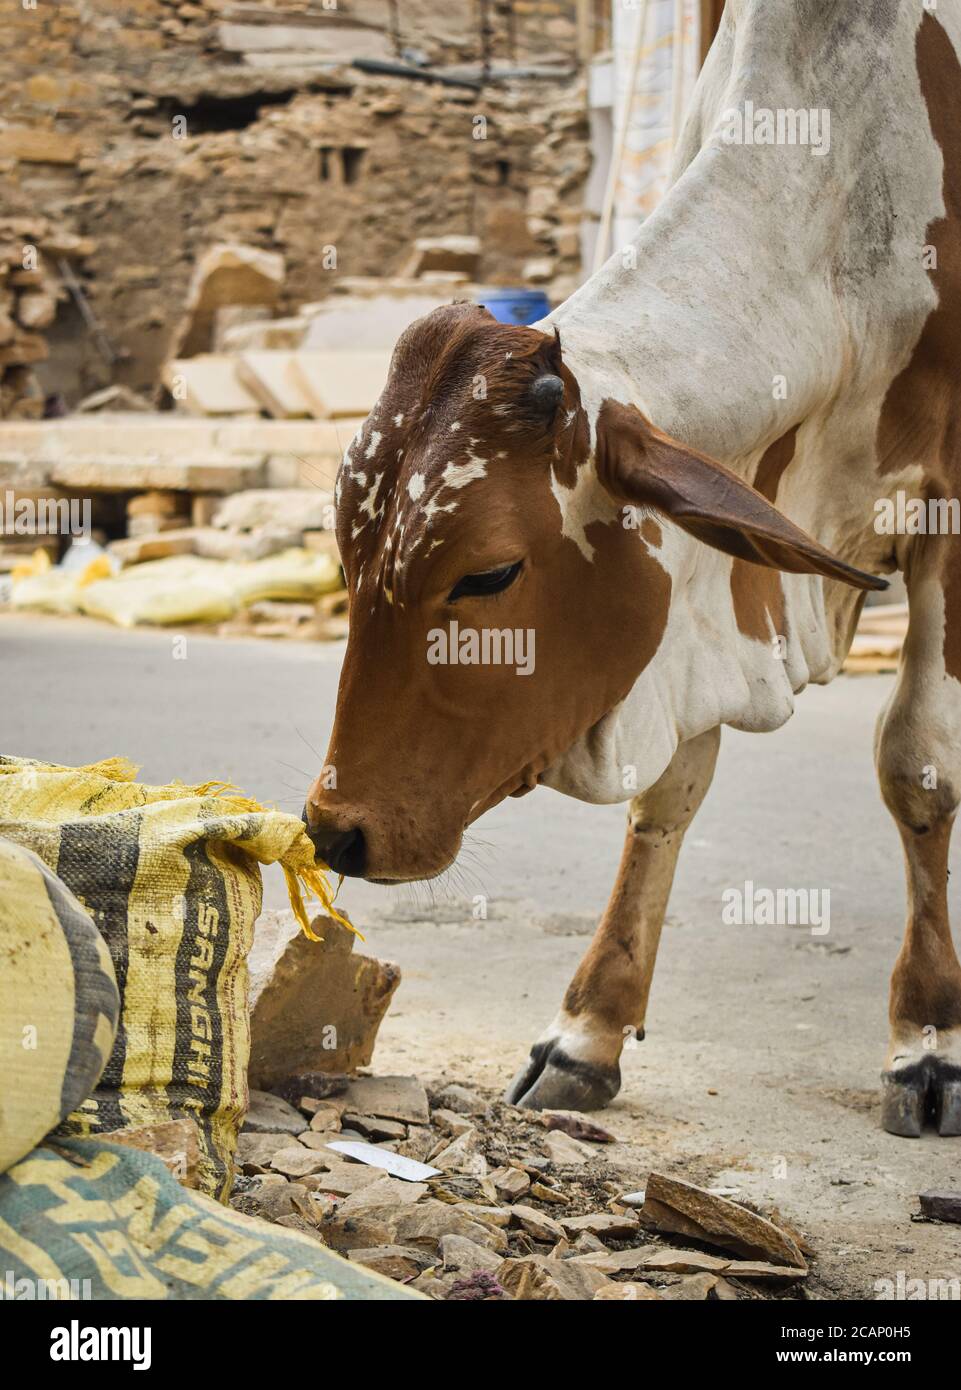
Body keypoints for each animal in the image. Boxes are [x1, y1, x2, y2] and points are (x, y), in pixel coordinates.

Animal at [304, 0, 961, 1138]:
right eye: (348, 548)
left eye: (488, 576)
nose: (333, 830)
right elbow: (669, 788)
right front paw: (588, 1032)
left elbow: (918, 762)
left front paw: (928, 1038)